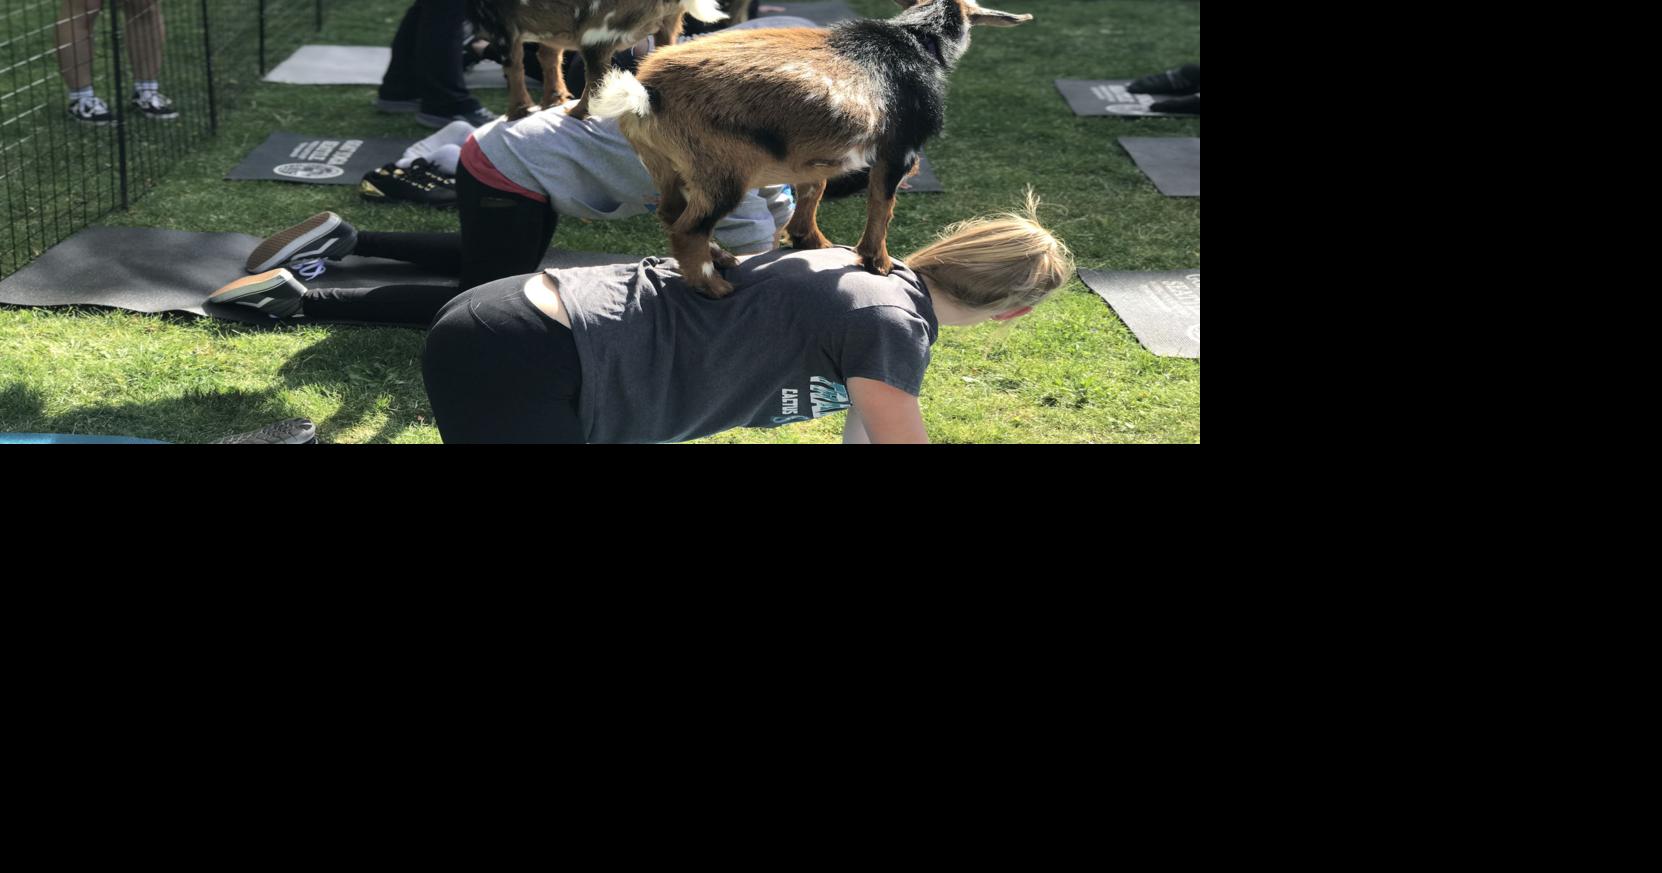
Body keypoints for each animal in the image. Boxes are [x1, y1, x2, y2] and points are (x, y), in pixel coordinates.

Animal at [467, 0, 729, 120]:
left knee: (597, 76)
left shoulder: (501, 24)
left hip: (597, 30)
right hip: (668, 22)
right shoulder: (550, 31)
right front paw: (552, 100)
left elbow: (513, 67)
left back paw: (576, 113)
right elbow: (549, 57)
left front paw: (516, 112)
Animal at [589, 0, 1031, 298]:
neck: (915, 40)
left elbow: (812, 190)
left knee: (670, 212)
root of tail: (647, 94)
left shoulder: (810, 154)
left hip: (665, 166)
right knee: (688, 227)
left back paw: (721, 259)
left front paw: (811, 241)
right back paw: (714, 286)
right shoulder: (898, 150)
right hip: (722, 172)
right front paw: (878, 262)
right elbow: (881, 206)